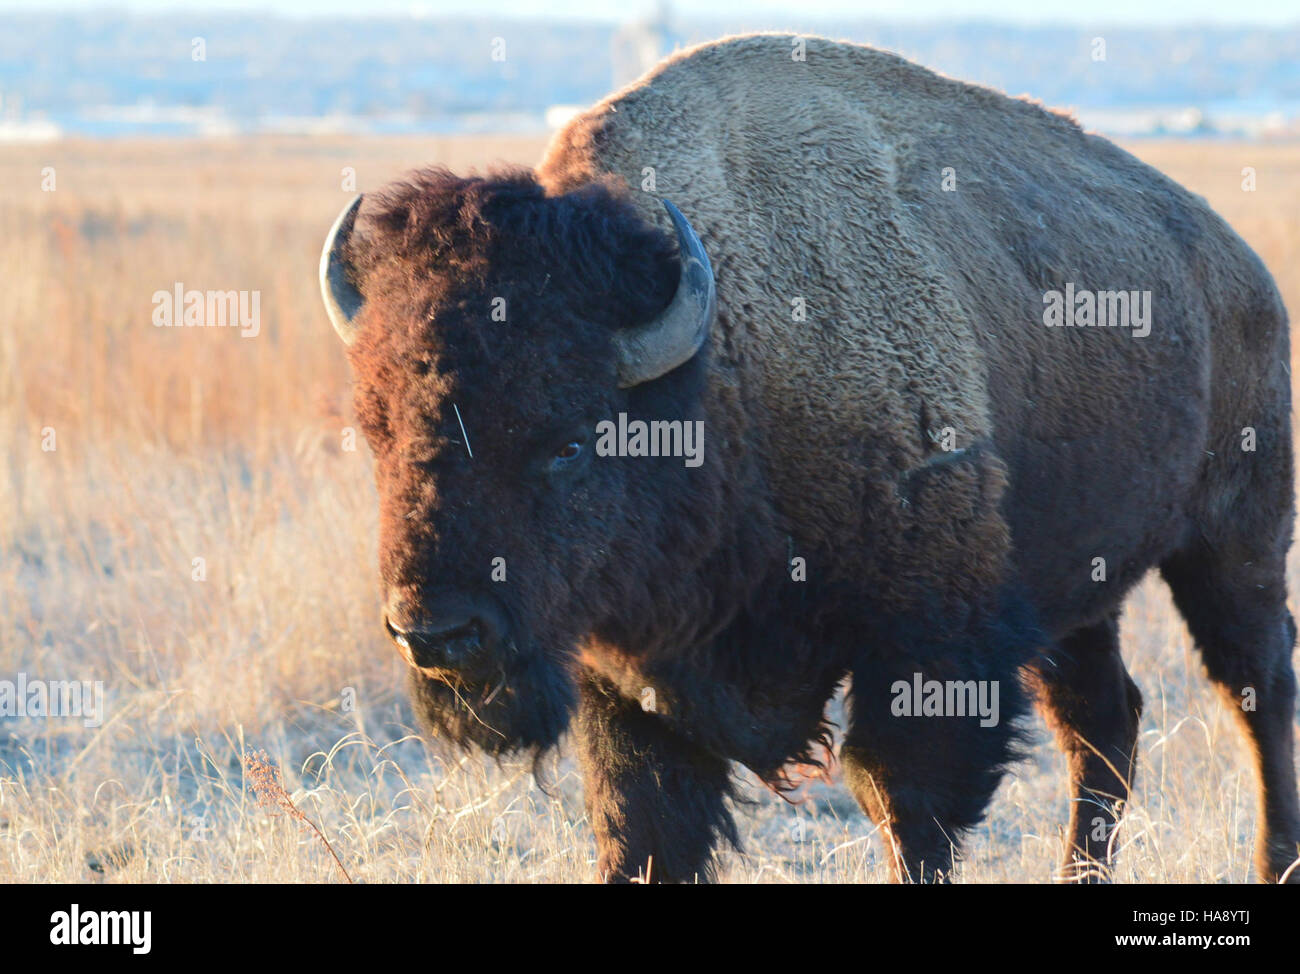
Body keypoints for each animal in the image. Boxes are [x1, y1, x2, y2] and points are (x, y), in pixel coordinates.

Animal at [320, 34, 1300, 882]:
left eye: (567, 440)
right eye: (377, 432)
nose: (436, 633)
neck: (720, 371)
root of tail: (1240, 267)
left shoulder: (929, 647)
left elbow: (903, 803)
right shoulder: (628, 686)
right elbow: (642, 829)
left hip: (1233, 544)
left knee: (1259, 685)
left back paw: (1274, 860)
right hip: (1078, 595)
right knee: (1105, 724)